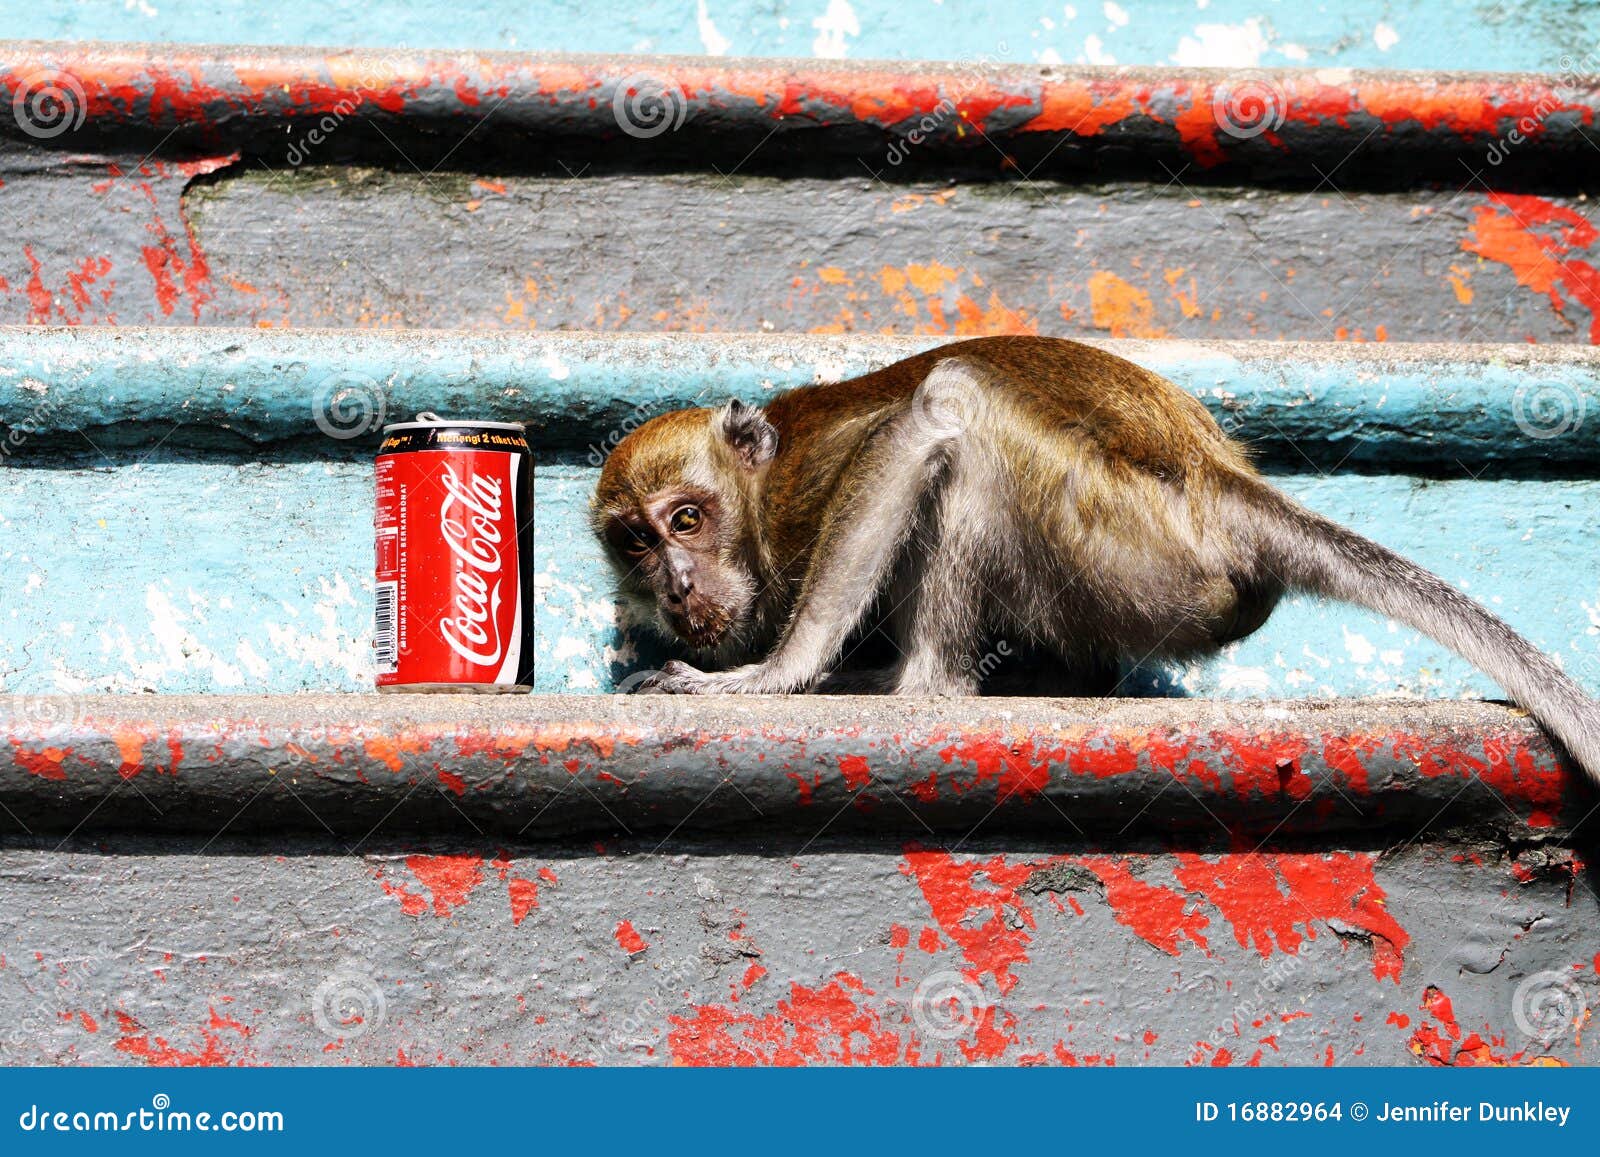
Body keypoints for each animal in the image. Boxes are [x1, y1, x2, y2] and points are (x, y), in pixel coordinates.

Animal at [590, 335, 1600, 784]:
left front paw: (772, 676)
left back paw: (915, 685)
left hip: (1127, 538)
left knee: (958, 402)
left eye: (687, 518)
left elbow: (917, 431)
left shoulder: (812, 493)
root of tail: (1218, 479)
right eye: (635, 540)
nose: (676, 586)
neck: (760, 504)